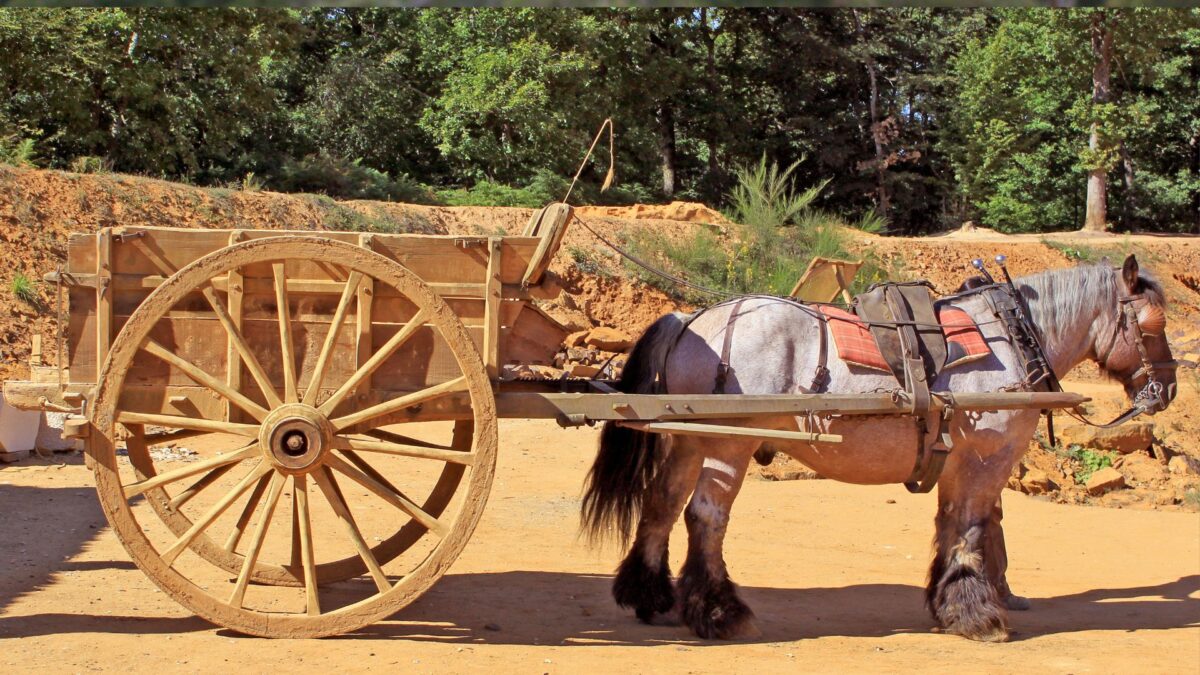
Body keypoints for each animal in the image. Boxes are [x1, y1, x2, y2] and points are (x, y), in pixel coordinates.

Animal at [581, 254, 1177, 642]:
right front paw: (976, 614)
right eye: (1154, 323)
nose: (1166, 390)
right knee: (704, 516)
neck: (1012, 336)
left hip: (690, 439)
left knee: (661, 503)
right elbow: (972, 527)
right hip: (732, 444)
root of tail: (692, 319)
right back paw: (718, 612)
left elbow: (949, 525)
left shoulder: (958, 460)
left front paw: (947, 605)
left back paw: (649, 595)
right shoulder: (985, 459)